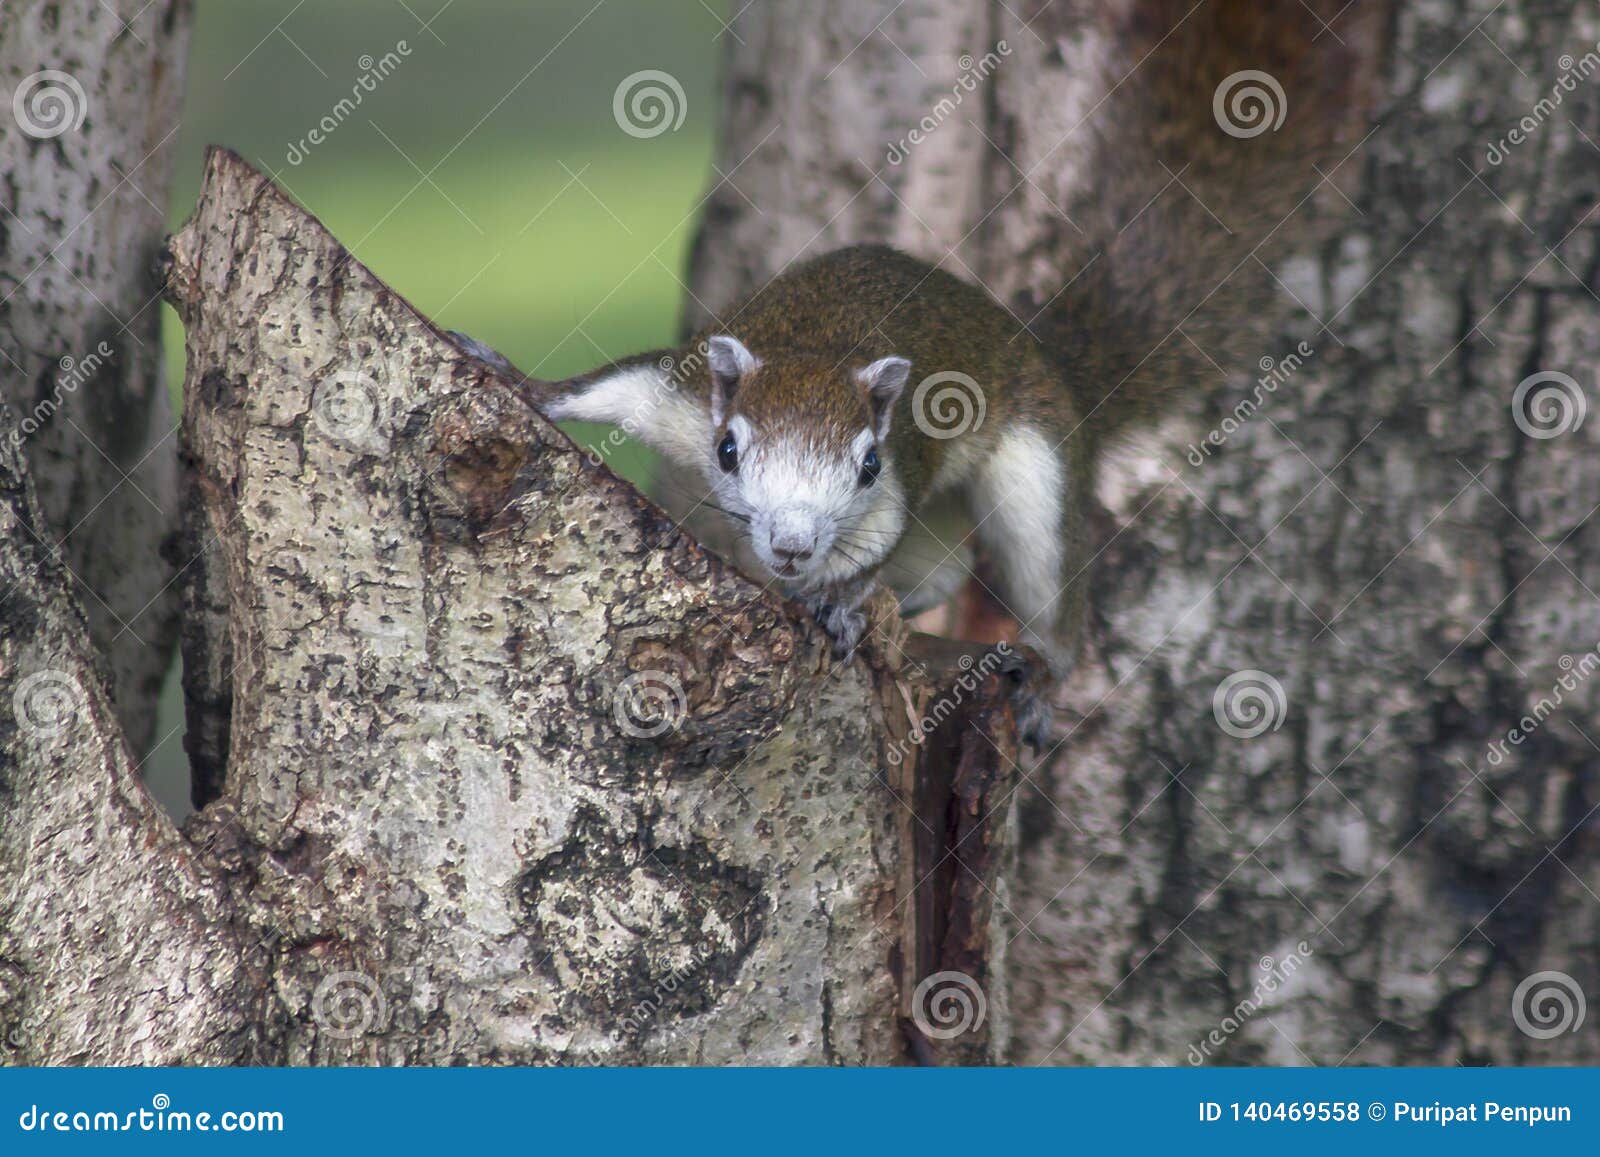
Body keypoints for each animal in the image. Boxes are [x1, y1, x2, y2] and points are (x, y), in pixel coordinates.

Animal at [456, 2, 1385, 742]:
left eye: (867, 464)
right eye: (726, 451)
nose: (791, 549)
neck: (817, 350)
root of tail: (1046, 355)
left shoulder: (902, 482)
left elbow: (873, 550)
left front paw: (840, 599)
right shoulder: (683, 391)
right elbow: (609, 385)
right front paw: (509, 375)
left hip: (1034, 471)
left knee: (1044, 594)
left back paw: (1037, 677)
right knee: (940, 575)